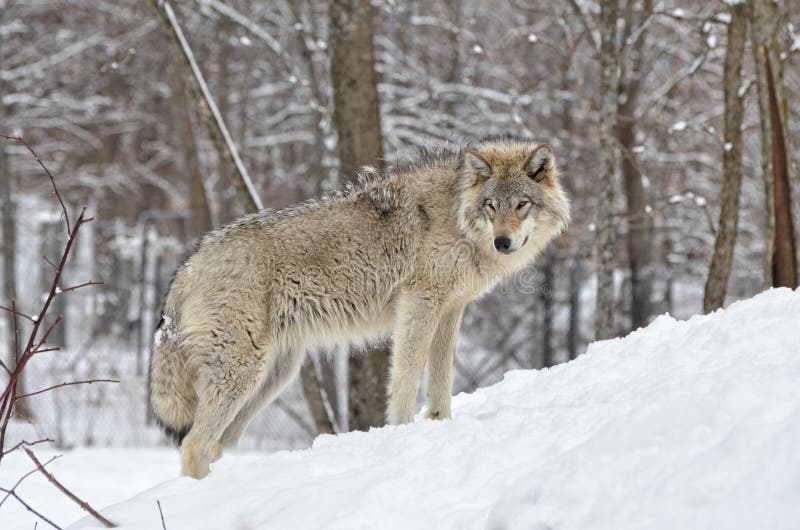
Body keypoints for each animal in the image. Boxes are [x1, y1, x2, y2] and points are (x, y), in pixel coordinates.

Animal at [149, 136, 570, 478]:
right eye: (491, 206)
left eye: (521, 204)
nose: (503, 242)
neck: (457, 217)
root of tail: (189, 264)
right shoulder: (419, 305)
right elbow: (405, 381)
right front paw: (403, 434)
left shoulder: (450, 311)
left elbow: (441, 382)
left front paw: (440, 425)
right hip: (243, 373)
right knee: (193, 444)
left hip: (274, 375)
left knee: (216, 443)